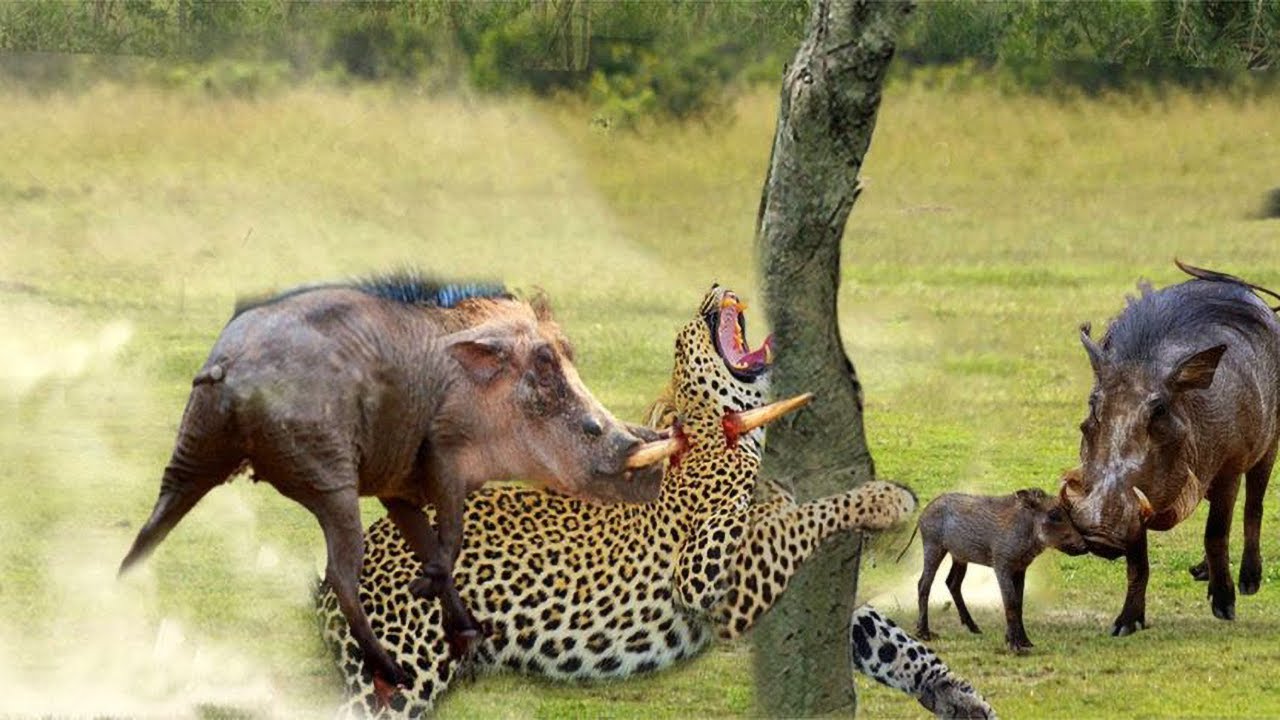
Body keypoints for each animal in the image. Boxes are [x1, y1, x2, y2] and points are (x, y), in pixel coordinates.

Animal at [316, 284, 917, 717]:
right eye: (684, 334)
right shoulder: (706, 579)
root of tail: (330, 578)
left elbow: (871, 621)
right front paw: (886, 498)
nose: (717, 285)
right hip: (401, 668)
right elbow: (802, 515)